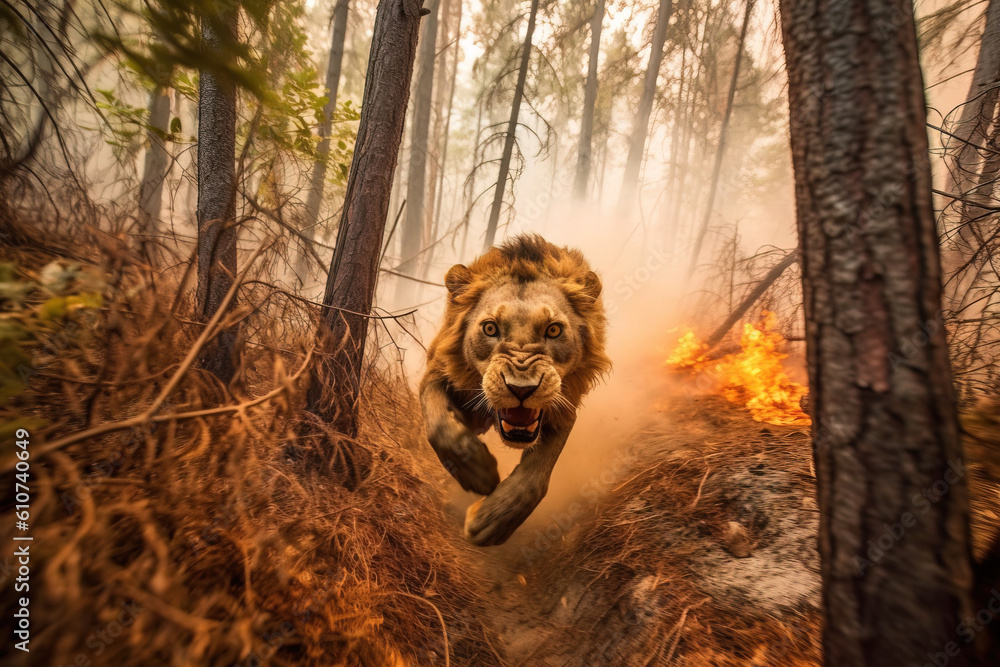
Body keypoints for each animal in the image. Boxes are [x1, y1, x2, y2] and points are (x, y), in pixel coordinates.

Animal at [420, 234, 611, 546]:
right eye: (490, 328)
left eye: (554, 330)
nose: (522, 389)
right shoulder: (437, 371)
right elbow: (441, 427)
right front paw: (479, 473)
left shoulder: (564, 406)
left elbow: (536, 475)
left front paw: (491, 522)